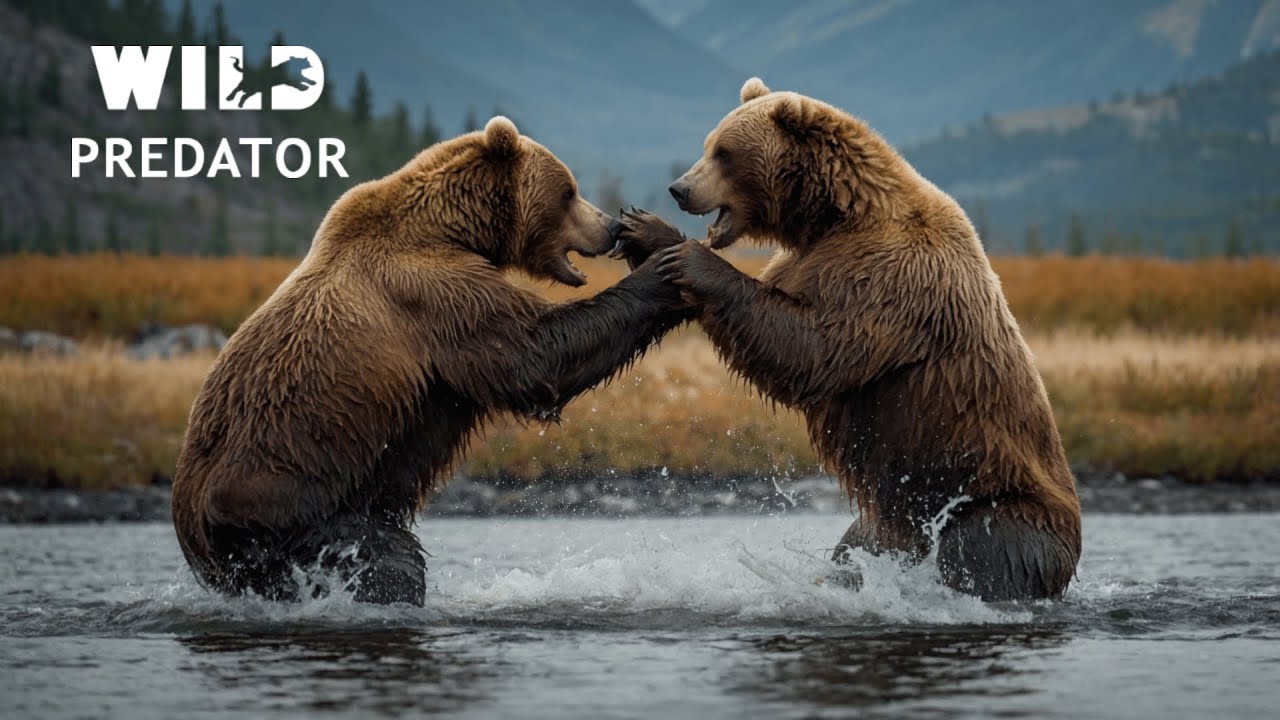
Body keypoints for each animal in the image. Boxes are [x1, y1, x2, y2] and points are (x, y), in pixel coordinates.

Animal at [172, 116, 688, 606]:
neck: (454, 229)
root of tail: (190, 521)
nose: (610, 227)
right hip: (286, 503)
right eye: (569, 191)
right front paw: (661, 267)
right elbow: (535, 357)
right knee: (385, 559)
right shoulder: (436, 293)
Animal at [621, 79, 1082, 601]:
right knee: (853, 547)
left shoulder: (887, 278)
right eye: (708, 145)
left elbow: (811, 348)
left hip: (994, 505)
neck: (835, 216)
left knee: (978, 555)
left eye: (724, 152)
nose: (679, 188)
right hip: (882, 524)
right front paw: (645, 231)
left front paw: (678, 249)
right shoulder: (811, 260)